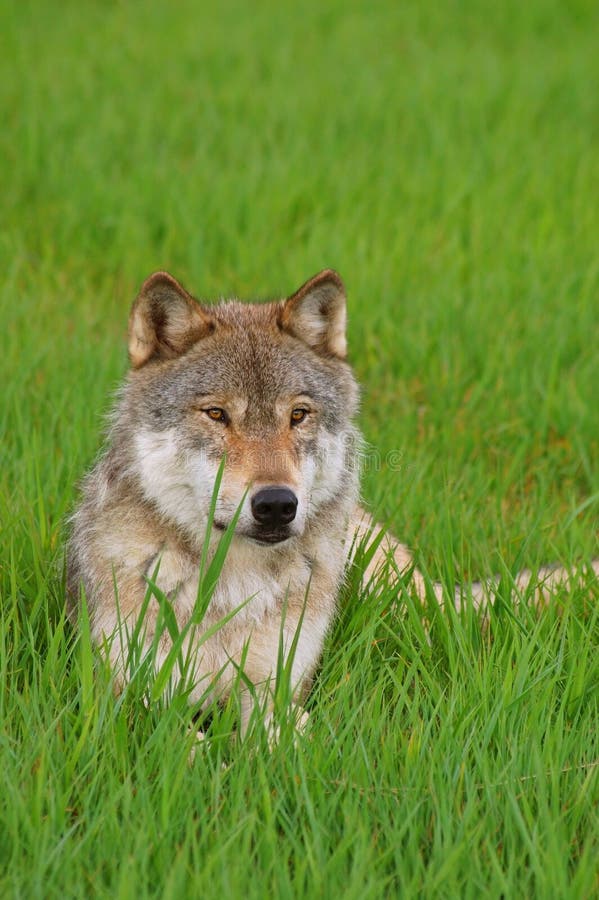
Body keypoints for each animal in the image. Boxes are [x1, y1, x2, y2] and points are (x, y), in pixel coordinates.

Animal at [67, 270, 598, 732]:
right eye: (216, 414)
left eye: (298, 415)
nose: (277, 504)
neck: (235, 586)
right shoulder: (126, 697)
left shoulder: (277, 689)